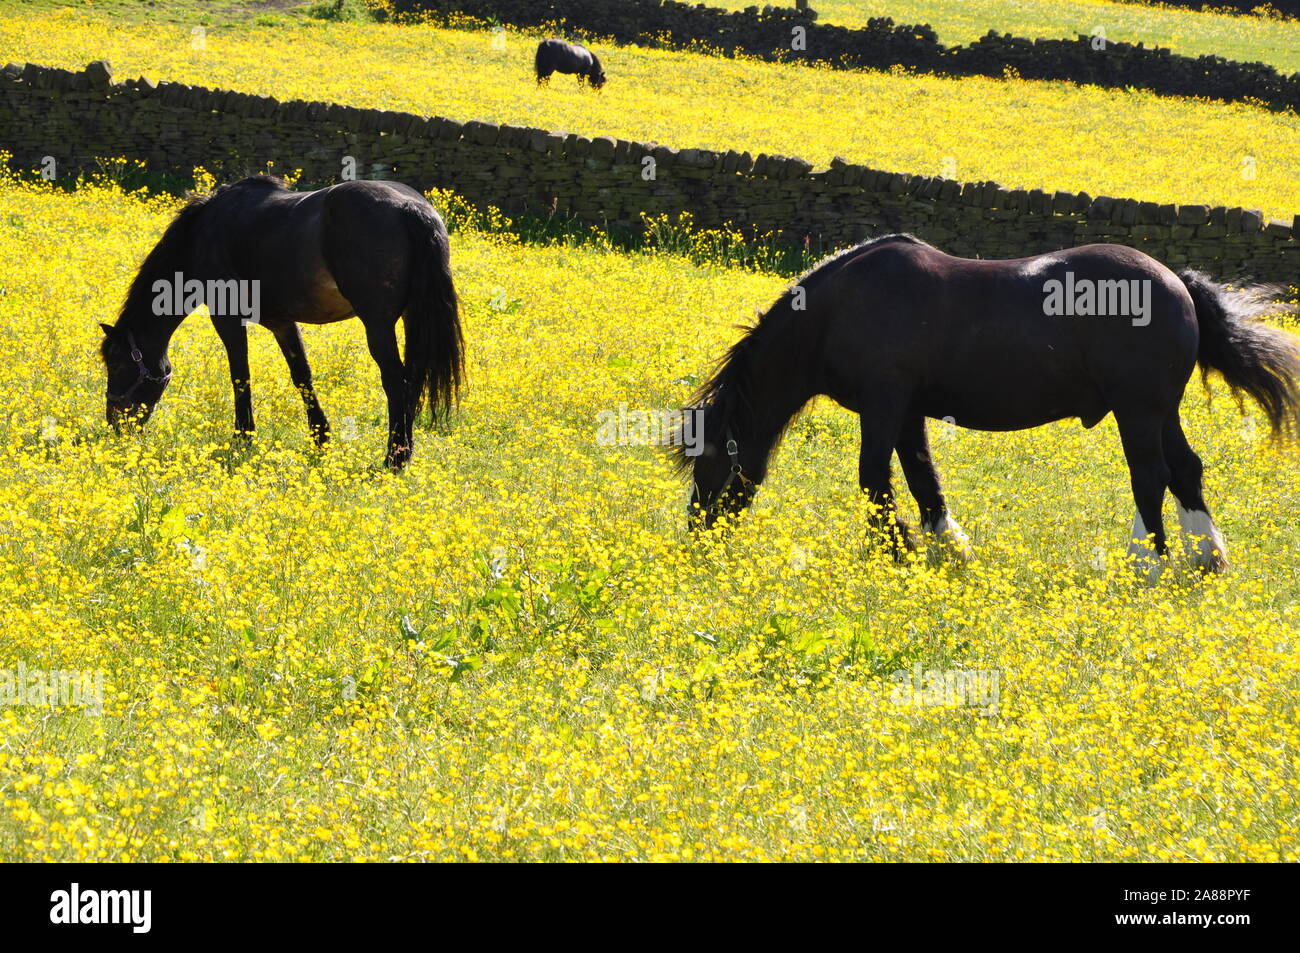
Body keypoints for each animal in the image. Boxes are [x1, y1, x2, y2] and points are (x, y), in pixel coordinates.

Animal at [99, 176, 463, 469]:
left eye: (116, 363)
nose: (115, 424)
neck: (202, 233)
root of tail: (409, 208)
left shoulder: (226, 317)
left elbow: (240, 375)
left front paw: (243, 436)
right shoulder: (282, 322)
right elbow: (302, 375)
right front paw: (320, 437)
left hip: (378, 324)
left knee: (396, 382)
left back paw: (394, 458)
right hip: (412, 318)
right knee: (413, 380)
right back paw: (404, 451)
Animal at [675, 234, 1300, 581]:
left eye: (709, 464)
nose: (695, 543)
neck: (834, 311)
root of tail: (1176, 281)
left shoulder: (884, 401)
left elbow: (874, 476)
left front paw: (895, 548)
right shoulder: (908, 410)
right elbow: (922, 476)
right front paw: (946, 545)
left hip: (1138, 410)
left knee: (1149, 476)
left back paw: (1146, 565)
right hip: (1161, 410)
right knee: (1185, 471)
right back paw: (1207, 555)